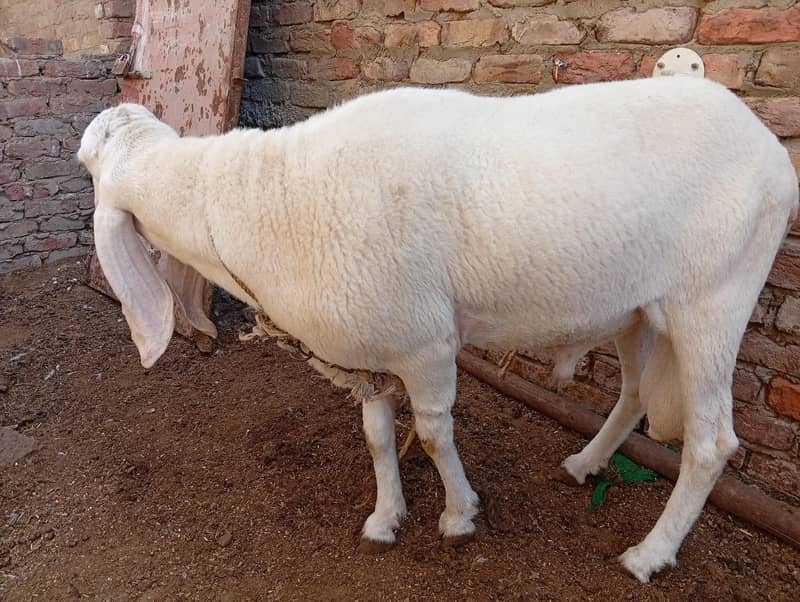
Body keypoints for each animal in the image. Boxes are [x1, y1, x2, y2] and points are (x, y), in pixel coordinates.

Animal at [77, 76, 798, 583]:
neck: (256, 198)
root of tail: (766, 143)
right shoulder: (373, 347)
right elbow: (376, 436)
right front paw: (385, 517)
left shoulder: (425, 344)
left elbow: (430, 434)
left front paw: (459, 515)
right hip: (639, 308)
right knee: (637, 393)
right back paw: (586, 463)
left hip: (714, 300)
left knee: (712, 442)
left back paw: (650, 553)